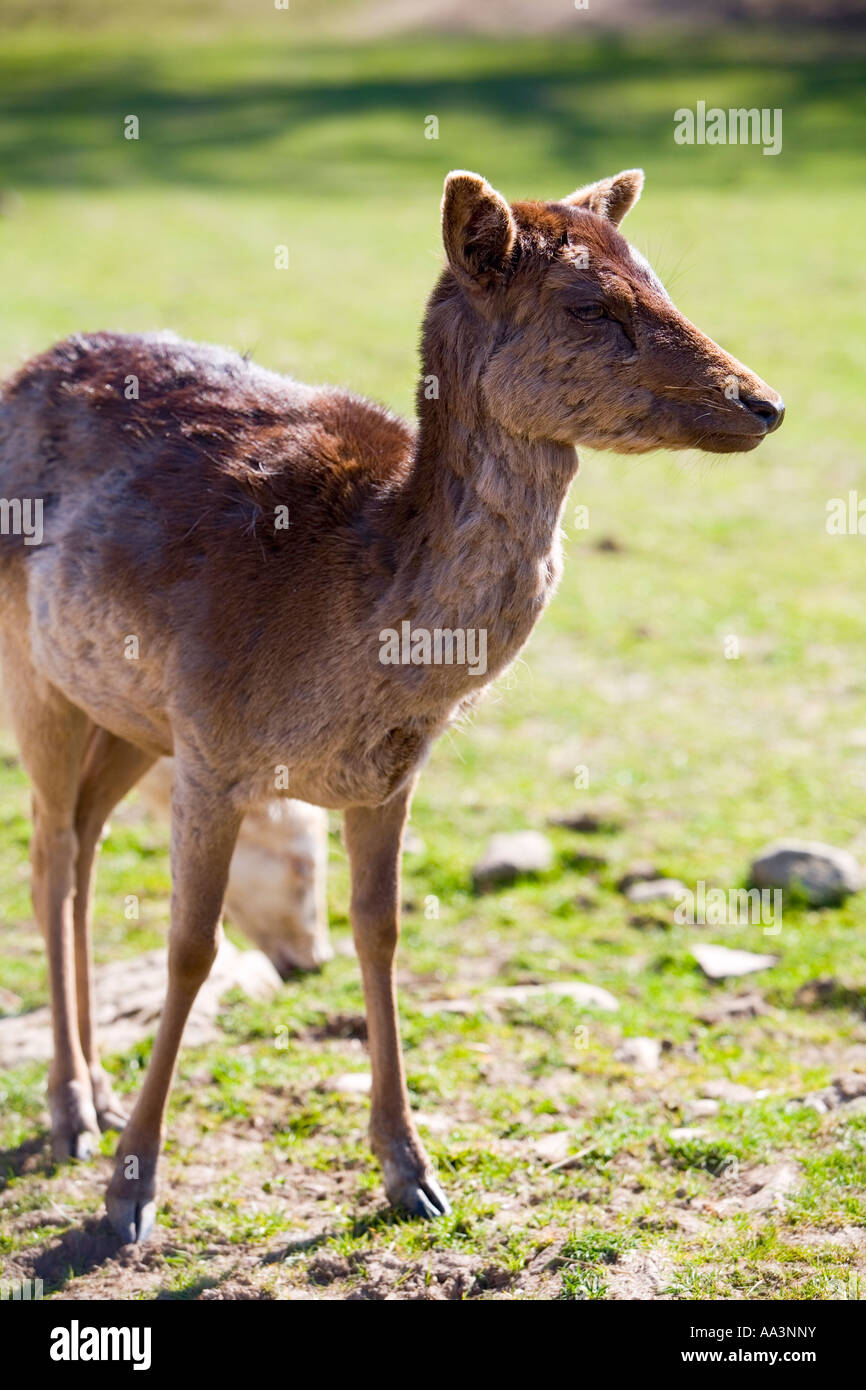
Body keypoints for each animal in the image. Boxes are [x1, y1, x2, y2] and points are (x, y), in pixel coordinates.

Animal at [0, 168, 784, 1242]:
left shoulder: (386, 774)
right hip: (35, 673)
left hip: (124, 713)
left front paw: (410, 1171)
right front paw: (130, 1192)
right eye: (591, 307)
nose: (763, 401)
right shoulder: (212, 747)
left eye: (657, 278)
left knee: (78, 848)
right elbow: (191, 948)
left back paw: (96, 1093)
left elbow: (382, 931)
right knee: (49, 857)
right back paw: (75, 1110)